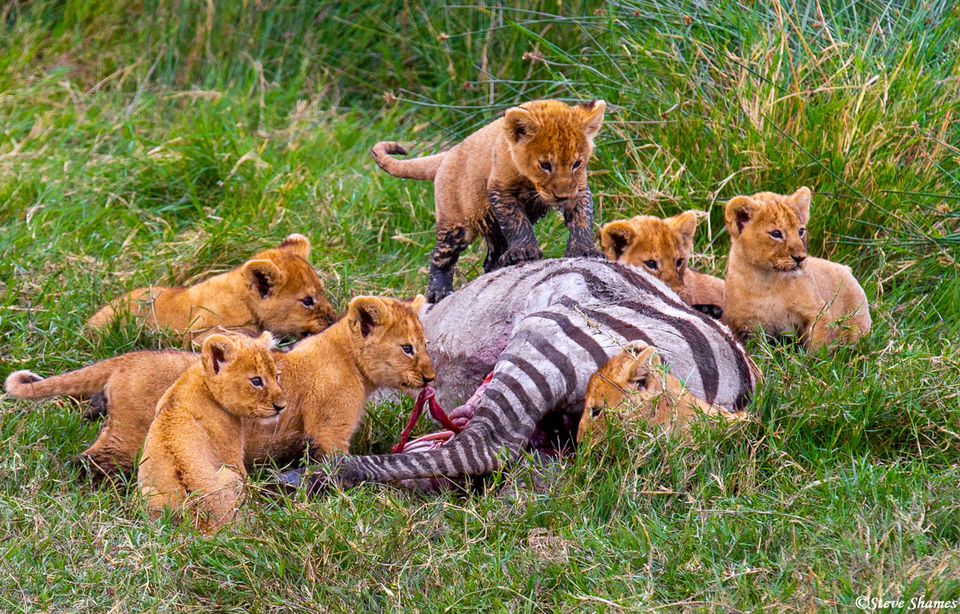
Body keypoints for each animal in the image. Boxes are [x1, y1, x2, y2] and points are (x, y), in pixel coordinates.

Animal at [6, 296, 434, 477]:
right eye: (407, 348)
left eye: (425, 344)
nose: (431, 378)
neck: (350, 363)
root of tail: (127, 359)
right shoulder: (329, 431)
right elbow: (335, 466)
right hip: (129, 433)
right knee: (91, 459)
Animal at [86, 234, 337, 346]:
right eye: (307, 301)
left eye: (323, 291)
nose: (333, 320)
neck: (245, 303)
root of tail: (87, 324)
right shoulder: (201, 336)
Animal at [137, 332, 285, 532]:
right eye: (256, 381)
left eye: (276, 376)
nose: (281, 406)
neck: (203, 380)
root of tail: (202, 525)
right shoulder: (231, 455)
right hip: (232, 477)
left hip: (145, 493)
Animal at [372, 99, 606, 302]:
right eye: (545, 165)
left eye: (577, 163)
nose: (562, 196)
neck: (530, 181)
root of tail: (447, 154)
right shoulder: (501, 190)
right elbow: (517, 222)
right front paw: (524, 251)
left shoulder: (579, 189)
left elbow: (582, 218)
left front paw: (585, 249)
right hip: (455, 226)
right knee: (440, 256)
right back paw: (439, 291)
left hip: (491, 225)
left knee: (491, 255)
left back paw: (498, 266)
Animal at [722, 187, 871, 350]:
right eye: (776, 234)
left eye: (800, 231)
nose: (800, 258)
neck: (766, 280)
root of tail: (846, 269)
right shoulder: (741, 324)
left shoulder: (818, 312)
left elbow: (817, 346)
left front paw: (813, 357)